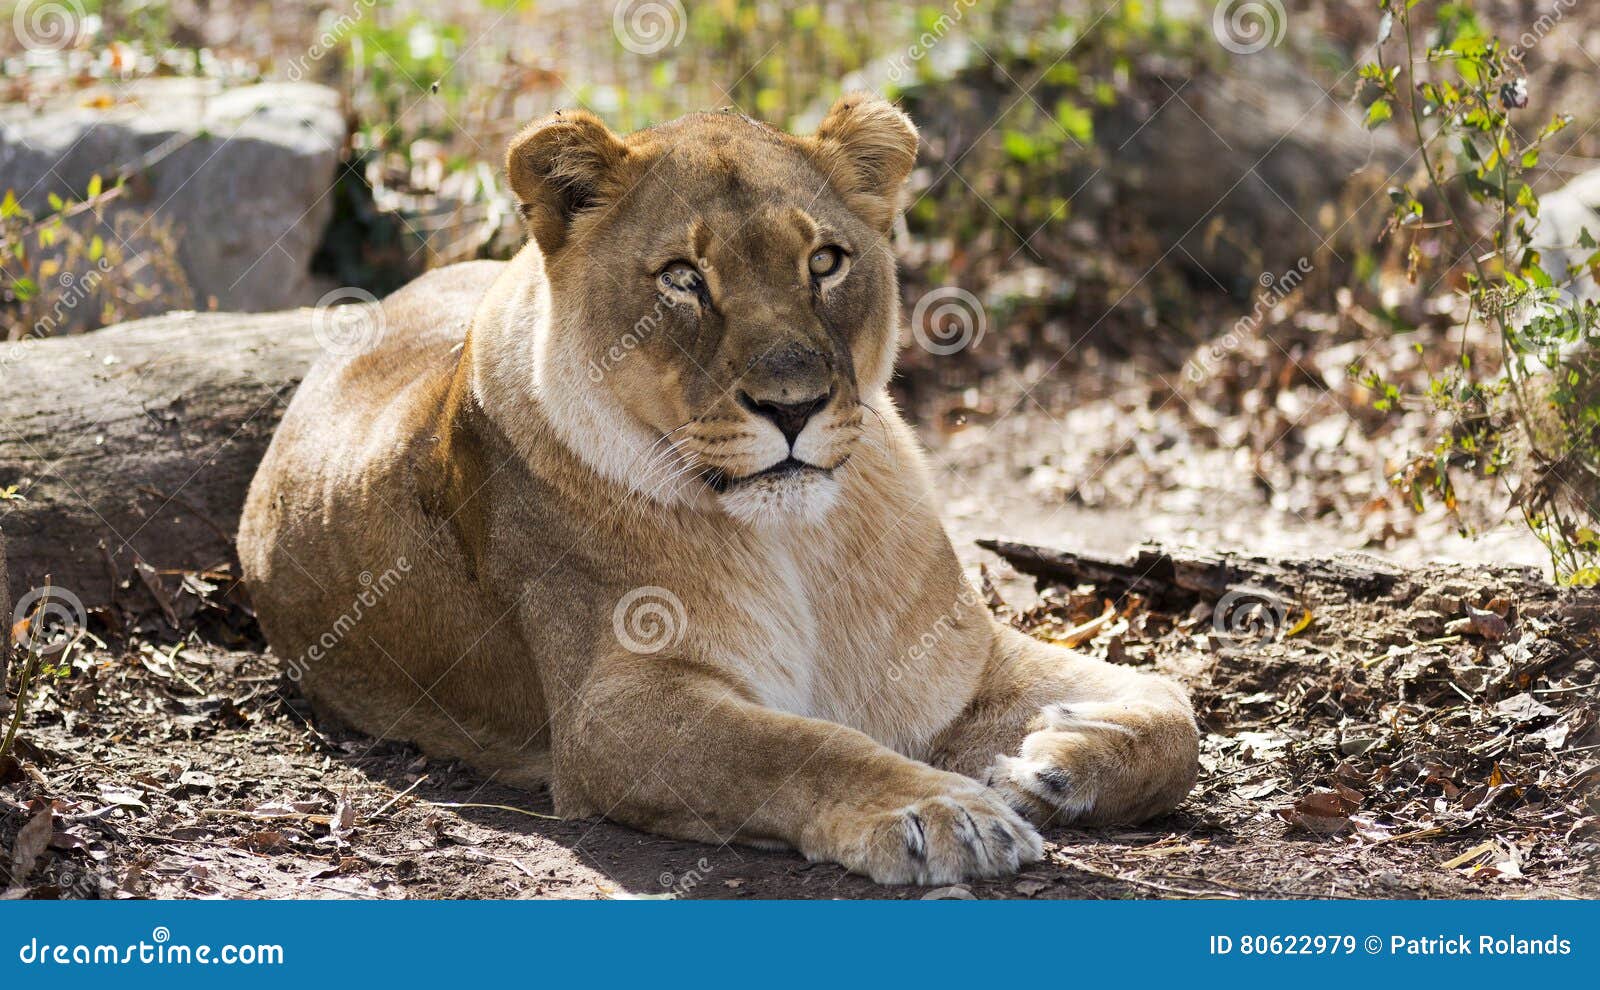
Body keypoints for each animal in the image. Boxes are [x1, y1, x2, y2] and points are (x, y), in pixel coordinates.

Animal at [237, 94, 1199, 885]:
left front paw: (1057, 760)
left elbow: (1174, 711)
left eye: (825, 262)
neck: (802, 546)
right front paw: (939, 811)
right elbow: (795, 746)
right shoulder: (613, 712)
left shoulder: (956, 664)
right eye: (682, 278)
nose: (794, 404)